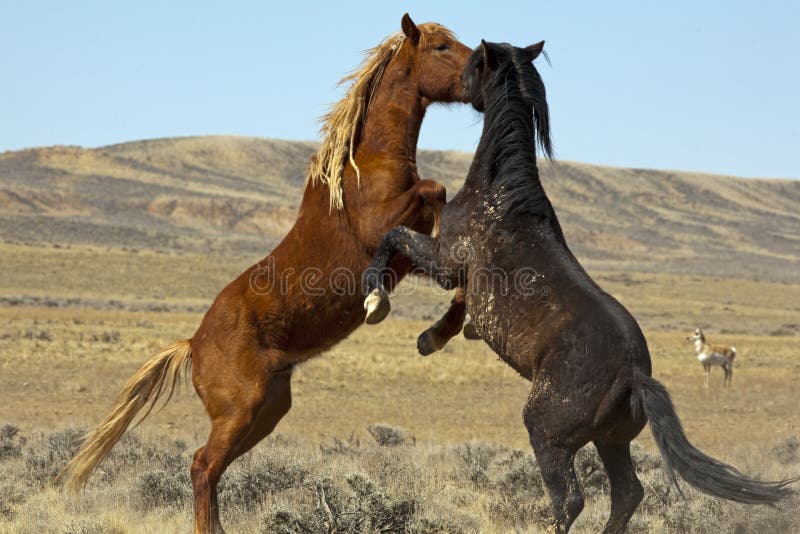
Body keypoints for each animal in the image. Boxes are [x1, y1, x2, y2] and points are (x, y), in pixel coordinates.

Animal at [64, 15, 473, 533]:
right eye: (441, 48)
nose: (484, 69)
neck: (368, 163)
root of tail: (192, 345)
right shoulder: (382, 228)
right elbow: (434, 191)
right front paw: (377, 303)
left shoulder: (408, 250)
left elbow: (455, 261)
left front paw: (438, 333)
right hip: (242, 409)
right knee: (201, 465)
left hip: (267, 411)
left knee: (211, 469)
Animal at [363, 40, 798, 533]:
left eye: (475, 62)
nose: (457, 84)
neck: (499, 195)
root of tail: (634, 375)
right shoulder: (460, 274)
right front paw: (433, 335)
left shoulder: (446, 261)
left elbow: (394, 236)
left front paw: (375, 300)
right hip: (611, 440)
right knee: (627, 493)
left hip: (548, 433)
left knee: (569, 499)